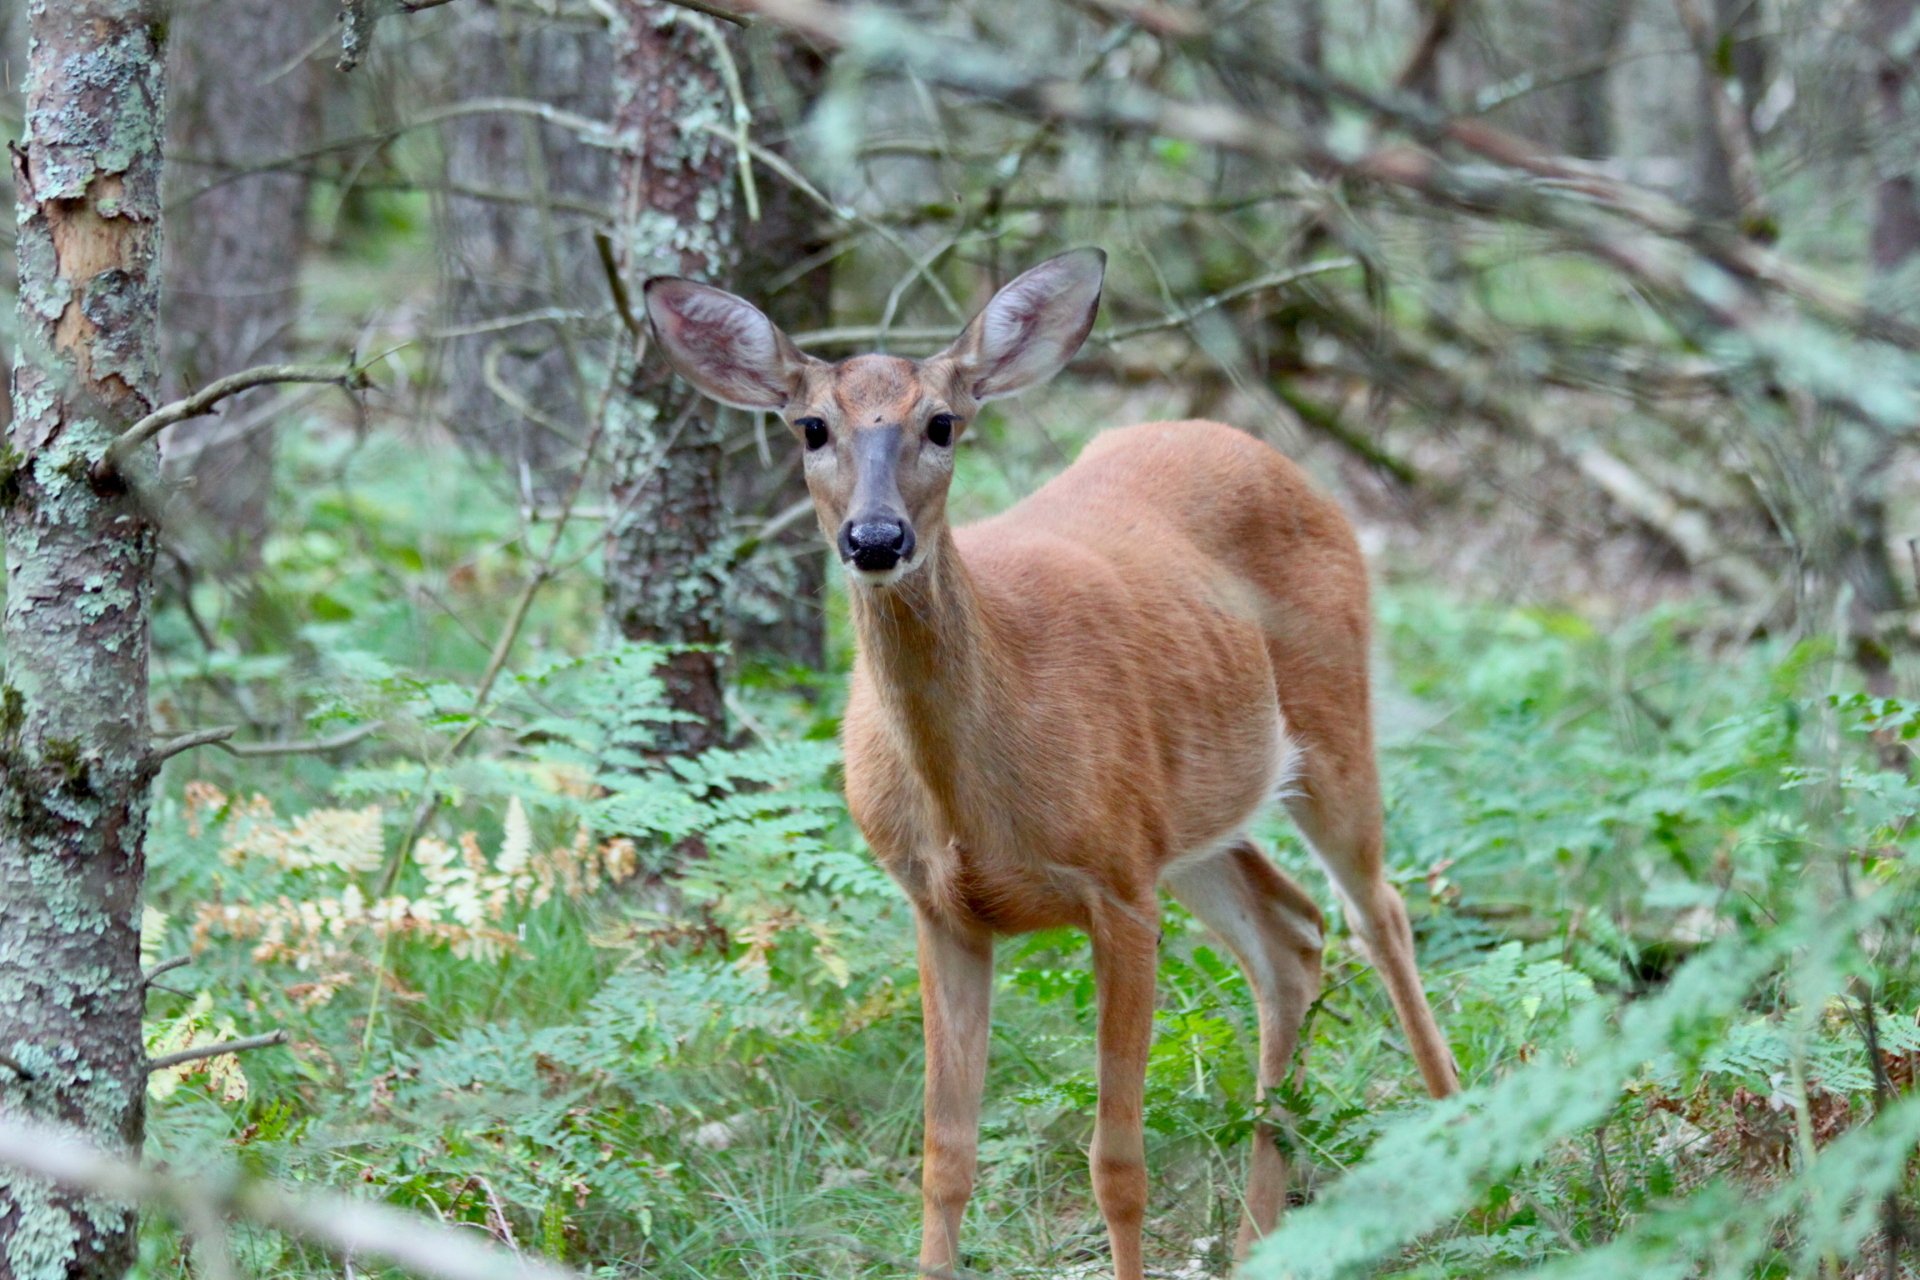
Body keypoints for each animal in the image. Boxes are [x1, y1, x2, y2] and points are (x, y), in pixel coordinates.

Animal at [642, 249, 1458, 1279]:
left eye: (942, 422)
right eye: (811, 426)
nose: (876, 538)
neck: (970, 793)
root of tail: (1262, 449)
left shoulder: (1118, 893)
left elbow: (1118, 1165)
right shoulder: (940, 906)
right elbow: (944, 1157)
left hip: (1329, 722)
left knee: (1377, 911)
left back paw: (1478, 1162)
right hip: (1189, 817)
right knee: (1292, 930)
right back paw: (1259, 1241)